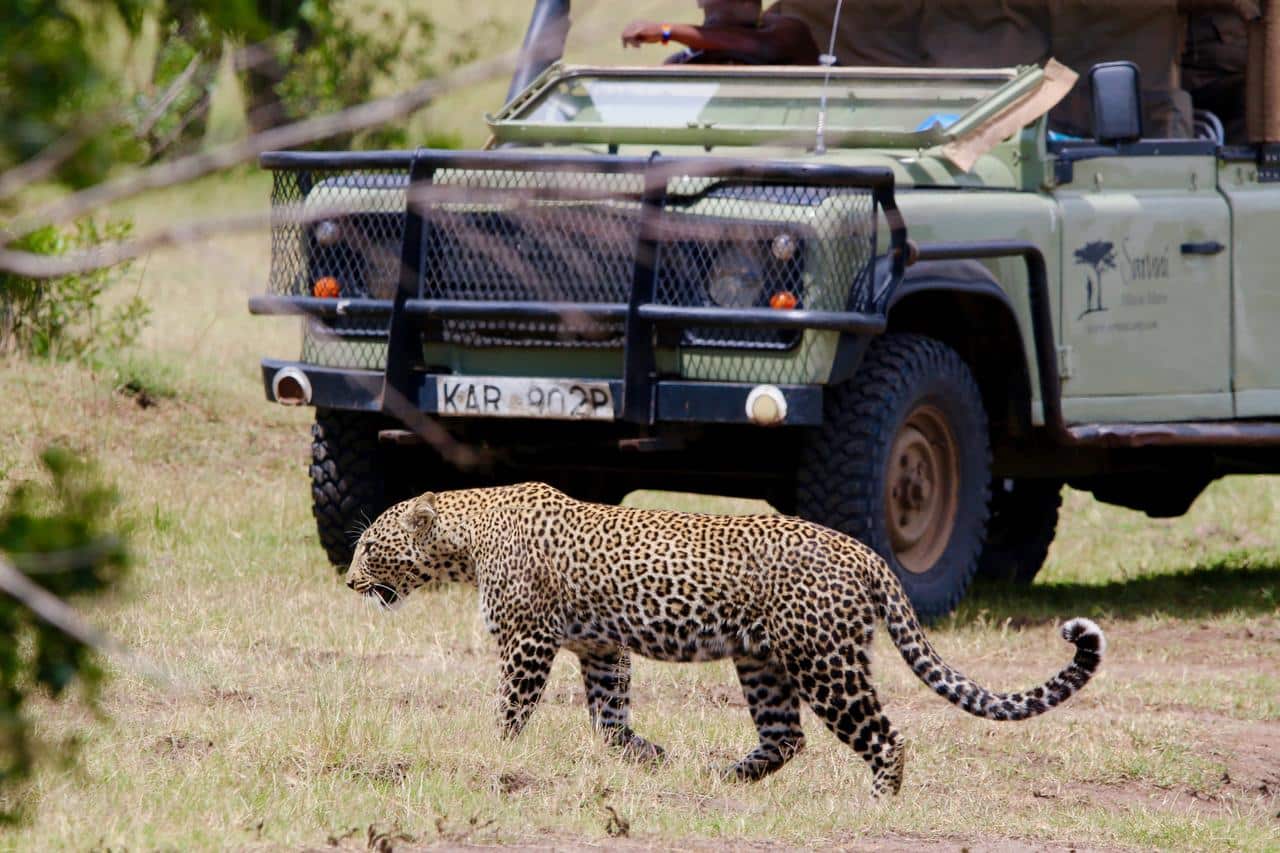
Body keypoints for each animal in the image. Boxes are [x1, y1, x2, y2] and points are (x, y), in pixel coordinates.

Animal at [344, 482, 1105, 795]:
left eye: (369, 546)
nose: (349, 582)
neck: (466, 535)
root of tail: (864, 552)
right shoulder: (601, 647)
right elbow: (609, 713)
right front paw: (644, 755)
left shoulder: (529, 642)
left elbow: (512, 706)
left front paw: (492, 751)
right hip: (762, 660)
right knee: (785, 737)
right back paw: (721, 776)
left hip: (824, 660)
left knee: (885, 735)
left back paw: (879, 798)